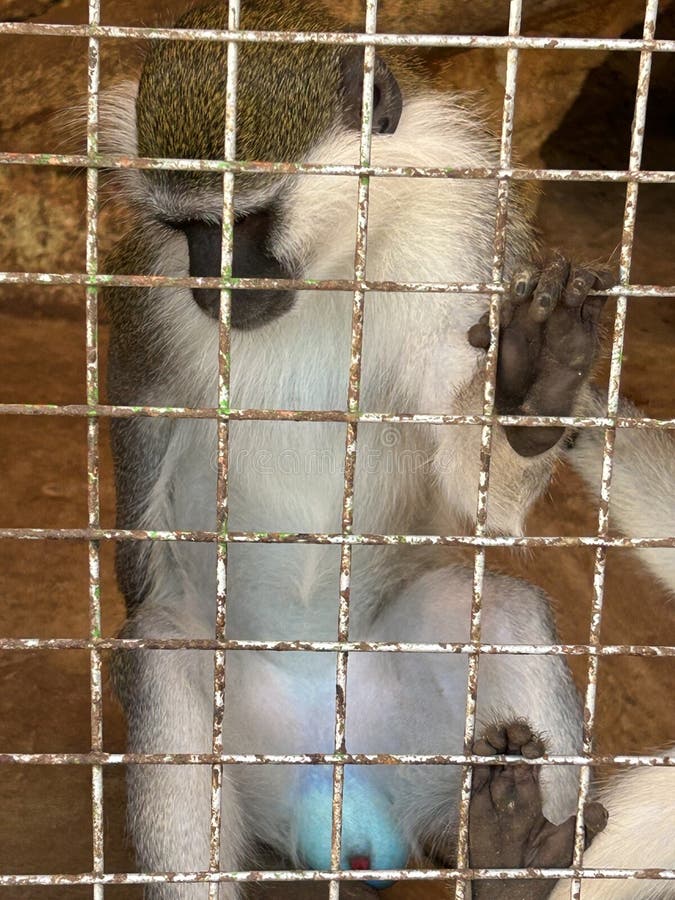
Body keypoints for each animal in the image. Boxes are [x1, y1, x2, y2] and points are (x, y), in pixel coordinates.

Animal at [99, 1, 674, 897]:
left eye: (250, 220)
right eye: (188, 228)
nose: (214, 286)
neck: (336, 263)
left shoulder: (462, 249)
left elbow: (479, 489)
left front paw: (529, 390)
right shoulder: (143, 297)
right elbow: (141, 539)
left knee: (500, 610)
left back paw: (512, 855)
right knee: (165, 654)